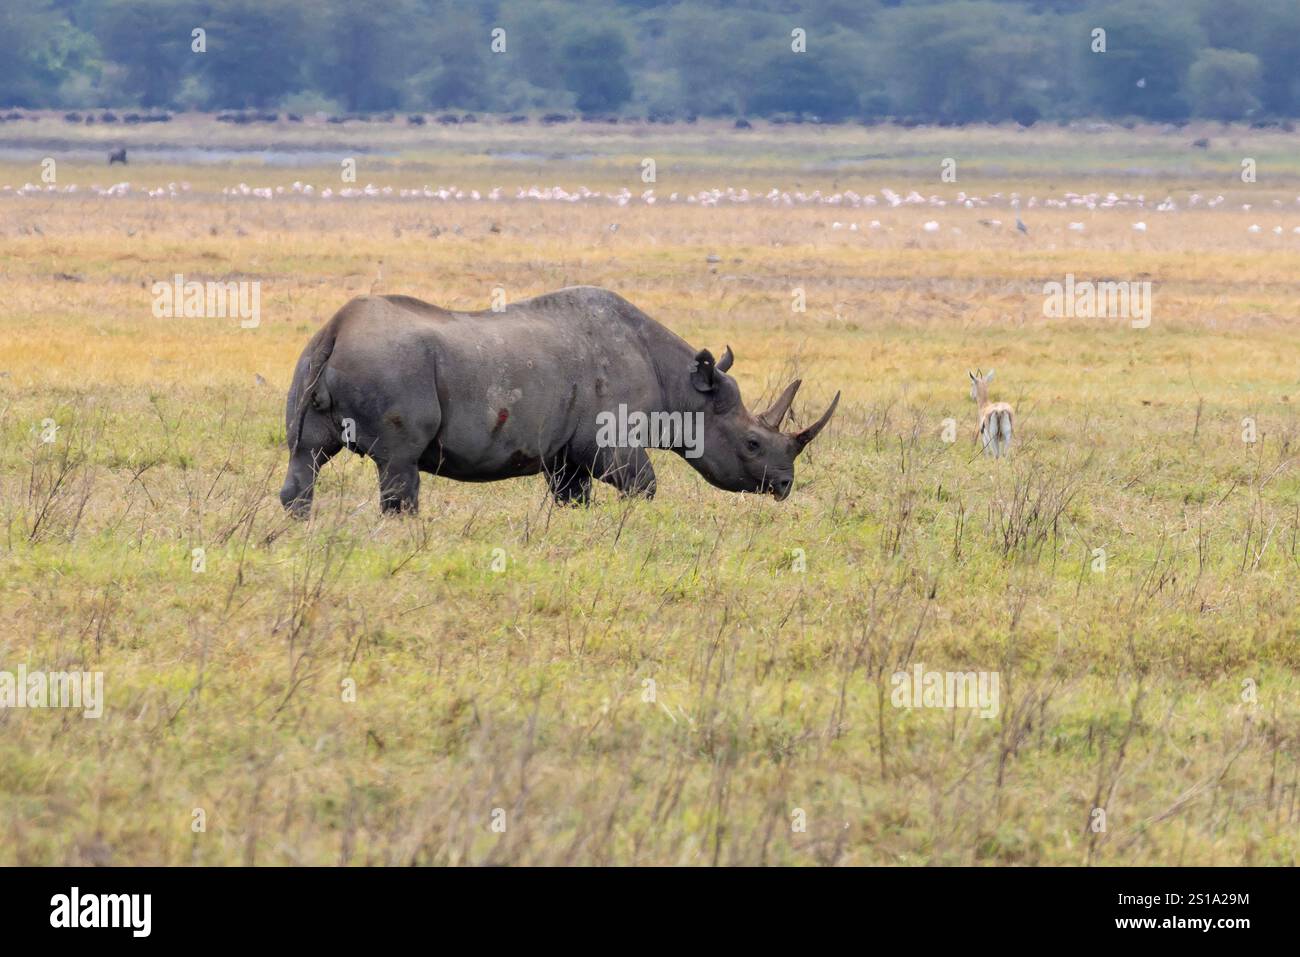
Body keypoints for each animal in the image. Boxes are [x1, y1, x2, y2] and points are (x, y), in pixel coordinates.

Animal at [279, 286, 838, 516]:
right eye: (751, 444)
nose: (784, 486)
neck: (683, 388)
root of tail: (336, 329)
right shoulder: (612, 441)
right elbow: (644, 486)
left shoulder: (567, 452)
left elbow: (574, 497)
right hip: (394, 366)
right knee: (399, 464)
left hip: (309, 360)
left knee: (306, 455)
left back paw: (300, 522)